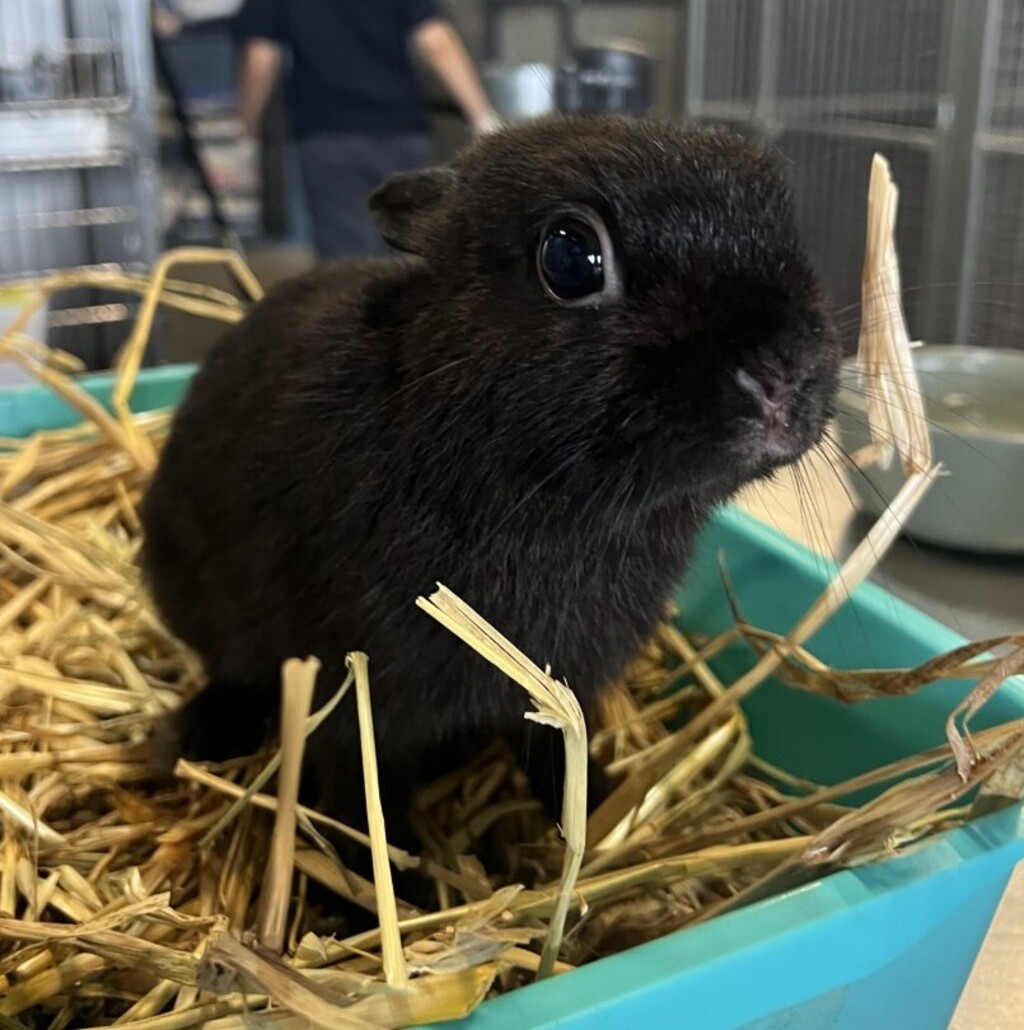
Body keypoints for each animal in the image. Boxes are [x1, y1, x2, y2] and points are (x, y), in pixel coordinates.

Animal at [140, 115, 841, 848]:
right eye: (570, 257)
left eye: (783, 224)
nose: (781, 374)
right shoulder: (355, 696)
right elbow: (363, 799)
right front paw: (385, 874)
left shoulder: (562, 689)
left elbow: (559, 760)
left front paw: (597, 819)